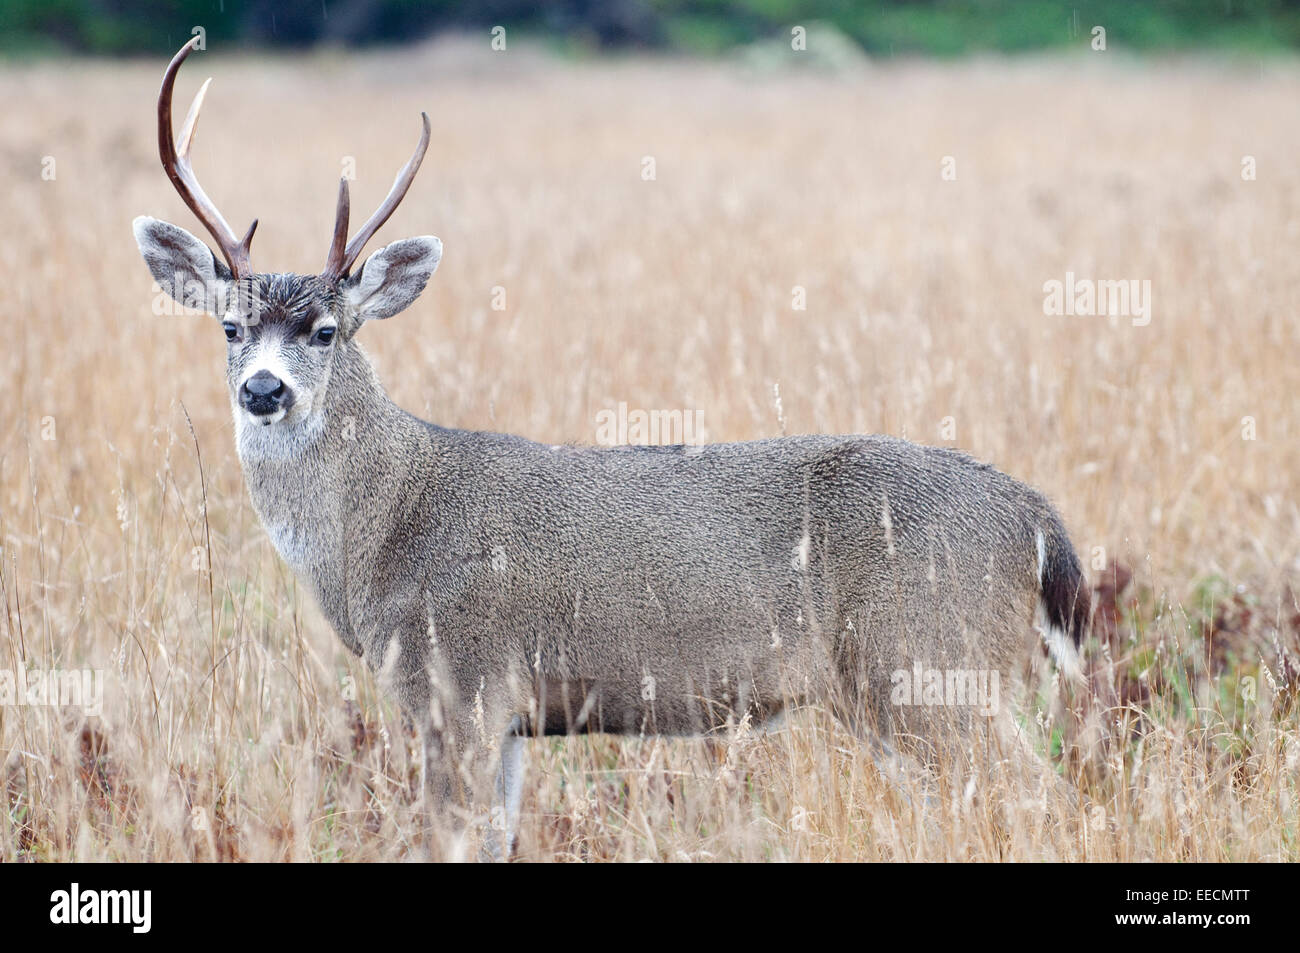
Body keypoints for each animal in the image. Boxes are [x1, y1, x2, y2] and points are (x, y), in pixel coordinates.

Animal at [133, 39, 1090, 860]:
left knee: (1039, 795)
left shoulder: (463, 682)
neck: (385, 531)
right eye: (229, 328)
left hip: (927, 657)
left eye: (327, 331)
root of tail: (1034, 517)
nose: (265, 390)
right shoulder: (509, 716)